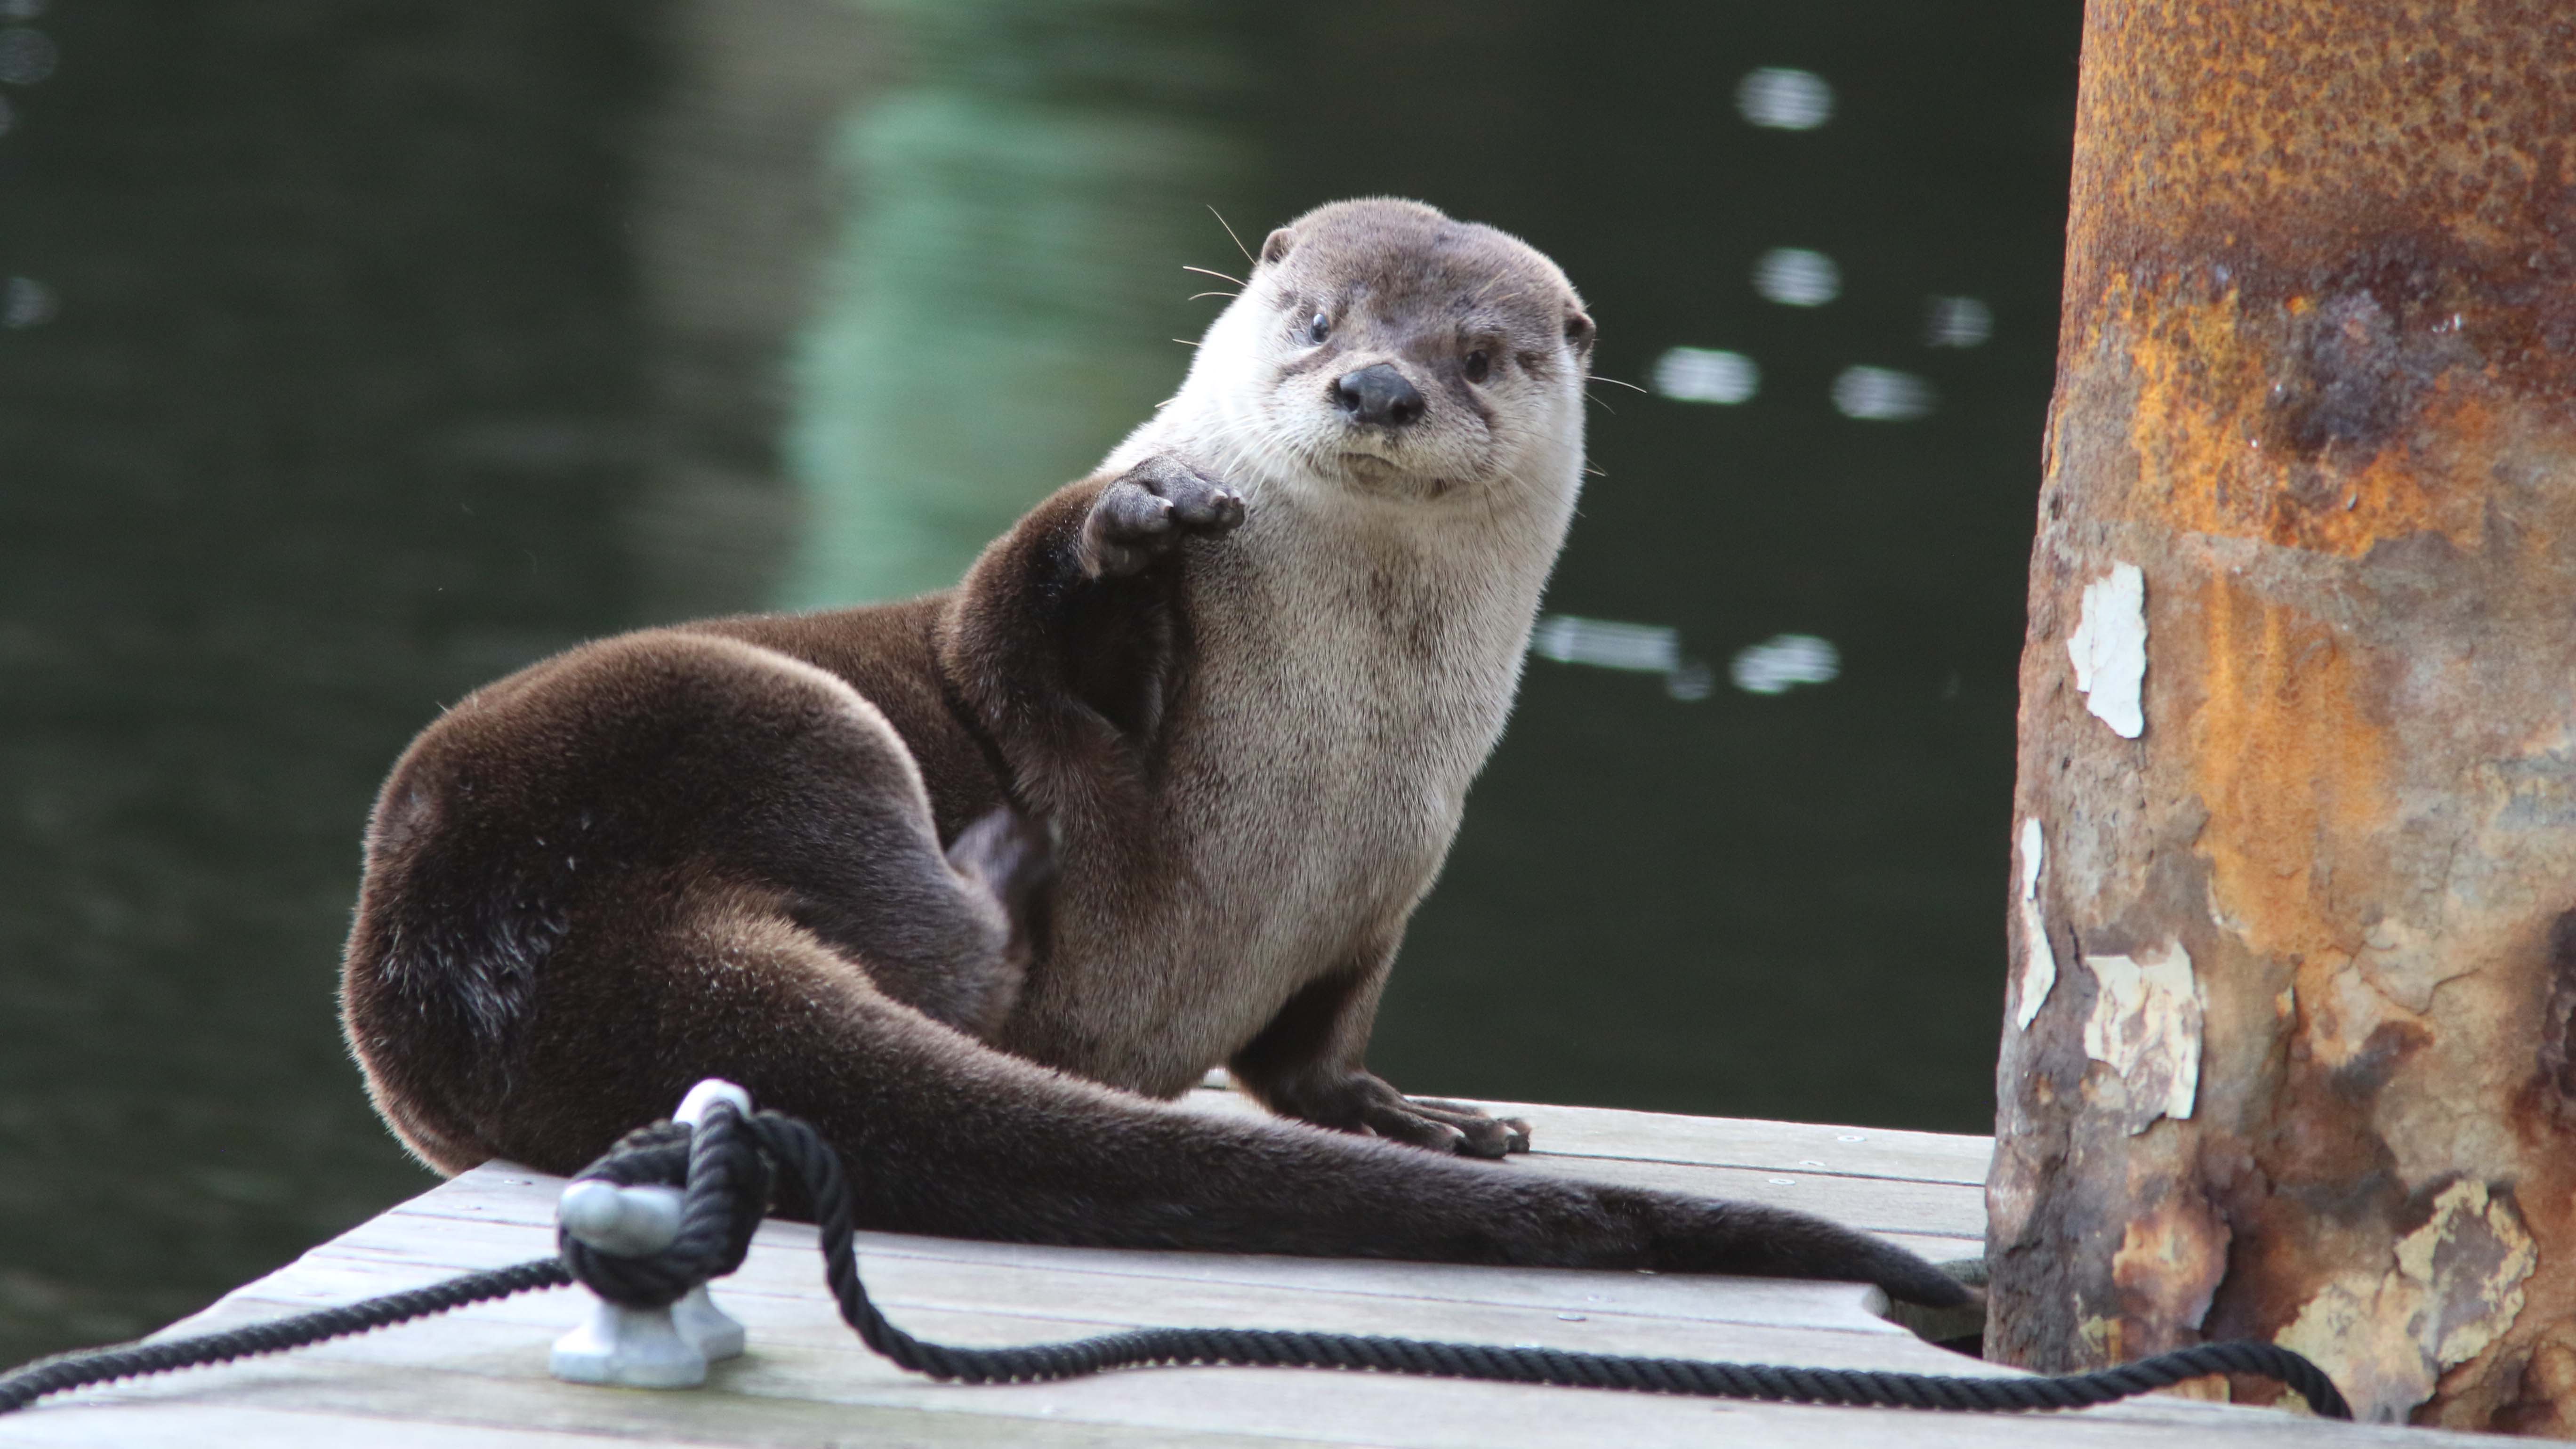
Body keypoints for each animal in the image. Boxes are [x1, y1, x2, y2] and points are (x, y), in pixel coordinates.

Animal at [339, 198, 1965, 1306]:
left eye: (1480, 356)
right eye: (1317, 318)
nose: (1380, 386)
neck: (1351, 751)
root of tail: (498, 951)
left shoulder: (1390, 879)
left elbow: (1313, 1052)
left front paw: (1415, 1117)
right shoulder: (1006, 640)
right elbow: (1013, 617)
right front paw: (1140, 521)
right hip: (749, 707)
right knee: (940, 948)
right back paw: (994, 860)